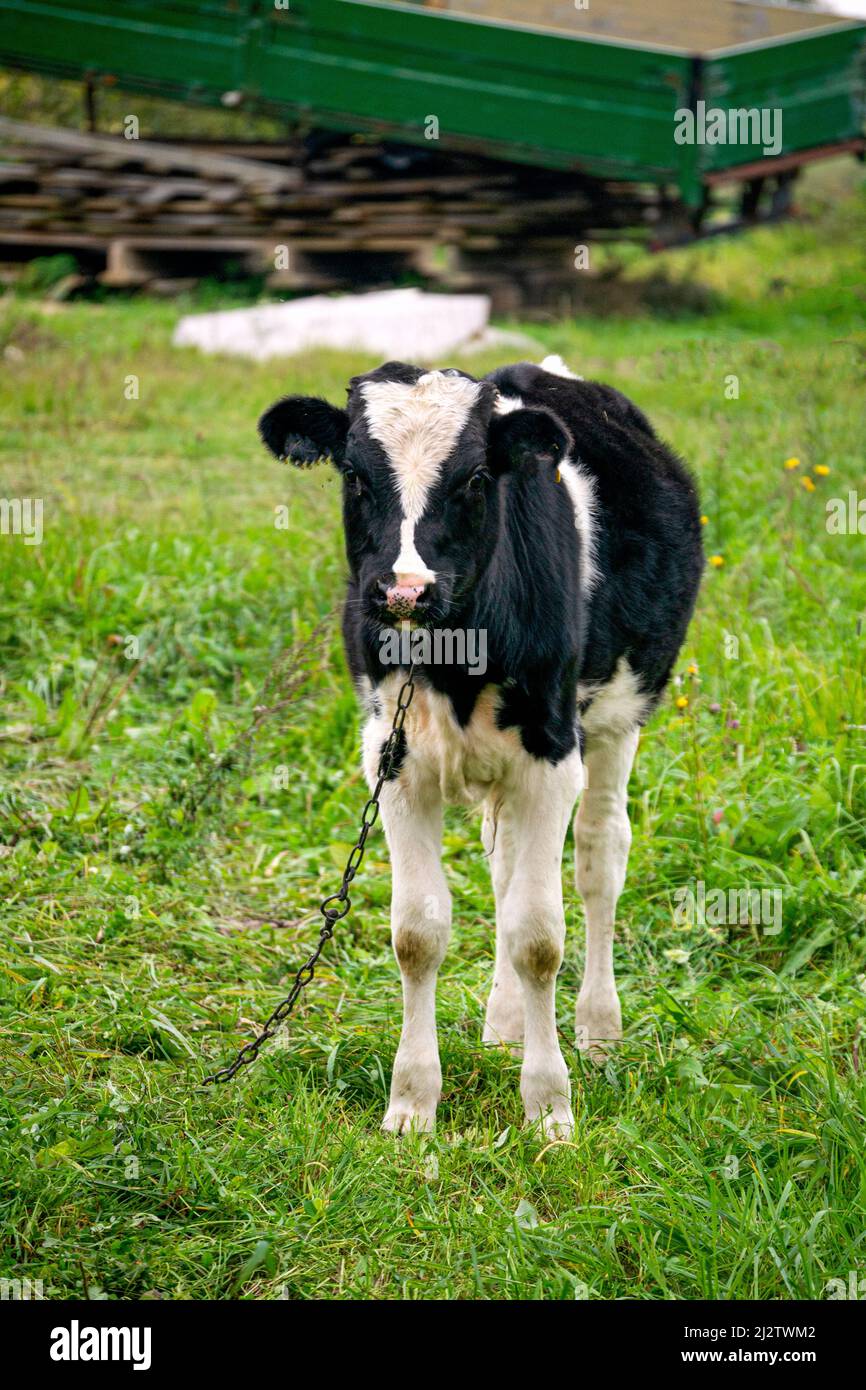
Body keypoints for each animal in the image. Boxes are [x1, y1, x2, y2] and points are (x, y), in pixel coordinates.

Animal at [258, 355, 703, 1139]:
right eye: (355, 476)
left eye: (472, 480)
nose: (405, 590)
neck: (451, 660)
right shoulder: (393, 759)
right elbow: (418, 932)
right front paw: (412, 1103)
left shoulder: (552, 757)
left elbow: (539, 935)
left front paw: (550, 1108)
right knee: (505, 870)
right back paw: (504, 1025)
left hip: (620, 719)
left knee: (600, 858)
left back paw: (597, 1030)